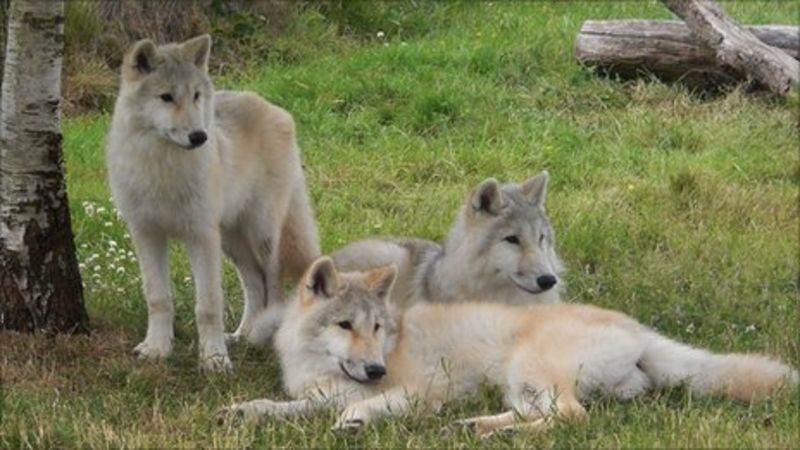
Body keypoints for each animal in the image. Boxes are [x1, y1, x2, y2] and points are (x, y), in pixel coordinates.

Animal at [106, 35, 319, 371]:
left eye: (195, 96)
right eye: (166, 97)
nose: (199, 136)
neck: (163, 167)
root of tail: (273, 107)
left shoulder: (201, 237)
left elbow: (208, 305)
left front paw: (214, 360)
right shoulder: (147, 235)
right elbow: (158, 298)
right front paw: (157, 349)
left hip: (260, 234)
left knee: (272, 283)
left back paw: (264, 336)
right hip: (231, 241)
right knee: (255, 285)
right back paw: (243, 336)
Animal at [219, 257, 798, 437]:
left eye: (378, 328)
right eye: (345, 325)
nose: (377, 369)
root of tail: (639, 330)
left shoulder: (422, 392)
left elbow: (368, 407)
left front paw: (358, 419)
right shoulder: (315, 397)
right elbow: (278, 407)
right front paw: (244, 409)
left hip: (530, 371)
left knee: (572, 417)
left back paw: (490, 433)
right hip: (520, 387)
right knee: (544, 414)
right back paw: (475, 427)